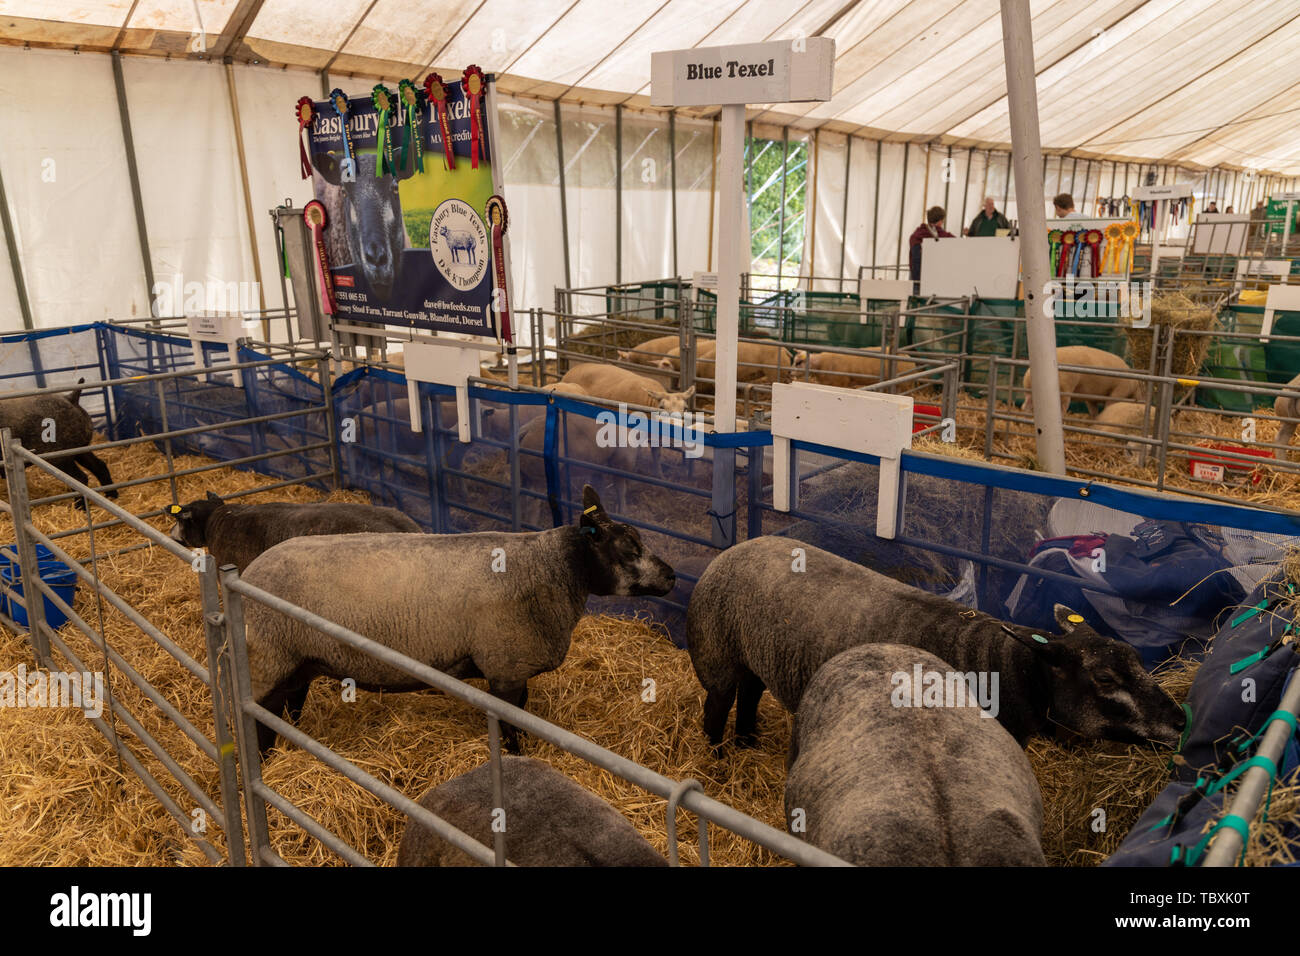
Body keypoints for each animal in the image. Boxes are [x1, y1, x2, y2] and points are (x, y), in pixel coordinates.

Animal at [241, 485, 675, 756]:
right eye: (629, 548)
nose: (671, 576)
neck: (546, 569)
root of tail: (250, 573)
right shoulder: (504, 667)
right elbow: (511, 726)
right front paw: (516, 758)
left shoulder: (512, 667)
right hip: (270, 657)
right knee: (262, 719)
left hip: (299, 659)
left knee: (293, 704)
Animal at [685, 535, 1184, 749]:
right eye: (1104, 678)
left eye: (1137, 659)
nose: (1181, 720)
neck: (996, 664)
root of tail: (737, 547)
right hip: (716, 653)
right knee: (717, 706)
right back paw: (717, 759)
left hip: (752, 656)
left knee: (750, 694)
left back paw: (748, 743)